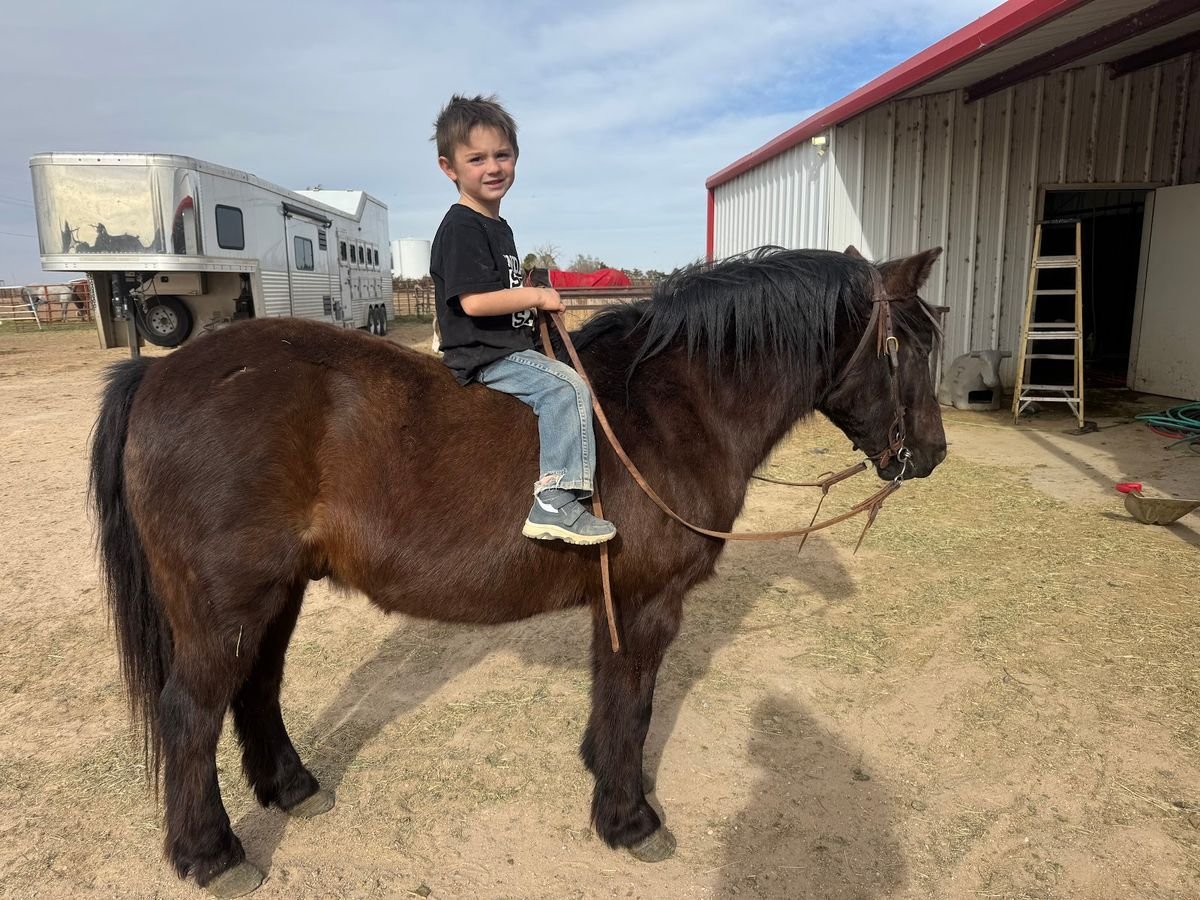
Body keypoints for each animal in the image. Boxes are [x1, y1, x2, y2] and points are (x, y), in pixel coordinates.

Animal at [89, 245, 947, 896]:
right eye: (914, 344)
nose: (931, 455)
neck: (671, 408)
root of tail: (156, 375)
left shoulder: (617, 601)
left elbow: (614, 697)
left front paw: (604, 775)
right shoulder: (648, 602)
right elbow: (636, 702)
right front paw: (629, 819)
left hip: (275, 593)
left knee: (256, 688)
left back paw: (291, 788)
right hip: (227, 602)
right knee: (191, 713)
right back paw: (210, 855)